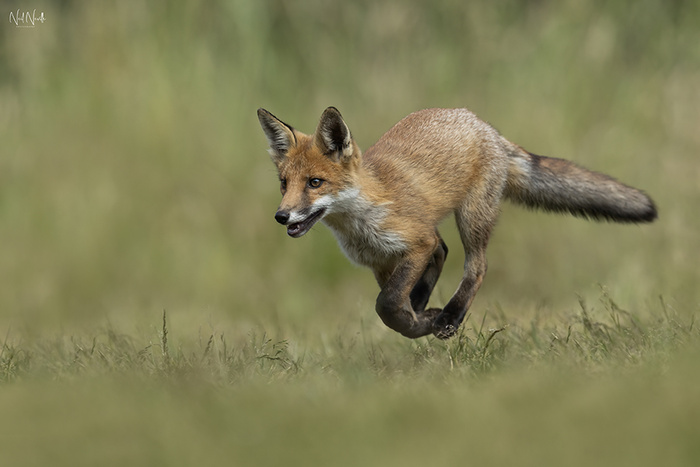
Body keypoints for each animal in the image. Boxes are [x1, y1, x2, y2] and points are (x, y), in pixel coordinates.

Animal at [257, 106, 657, 339]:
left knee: (476, 267)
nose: (281, 216)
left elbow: (387, 305)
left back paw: (451, 315)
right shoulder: (381, 262)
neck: (364, 221)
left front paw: (426, 321)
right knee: (445, 251)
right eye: (284, 184)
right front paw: (419, 320)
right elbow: (394, 306)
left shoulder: (415, 242)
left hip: (472, 216)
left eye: (315, 183)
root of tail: (483, 125)